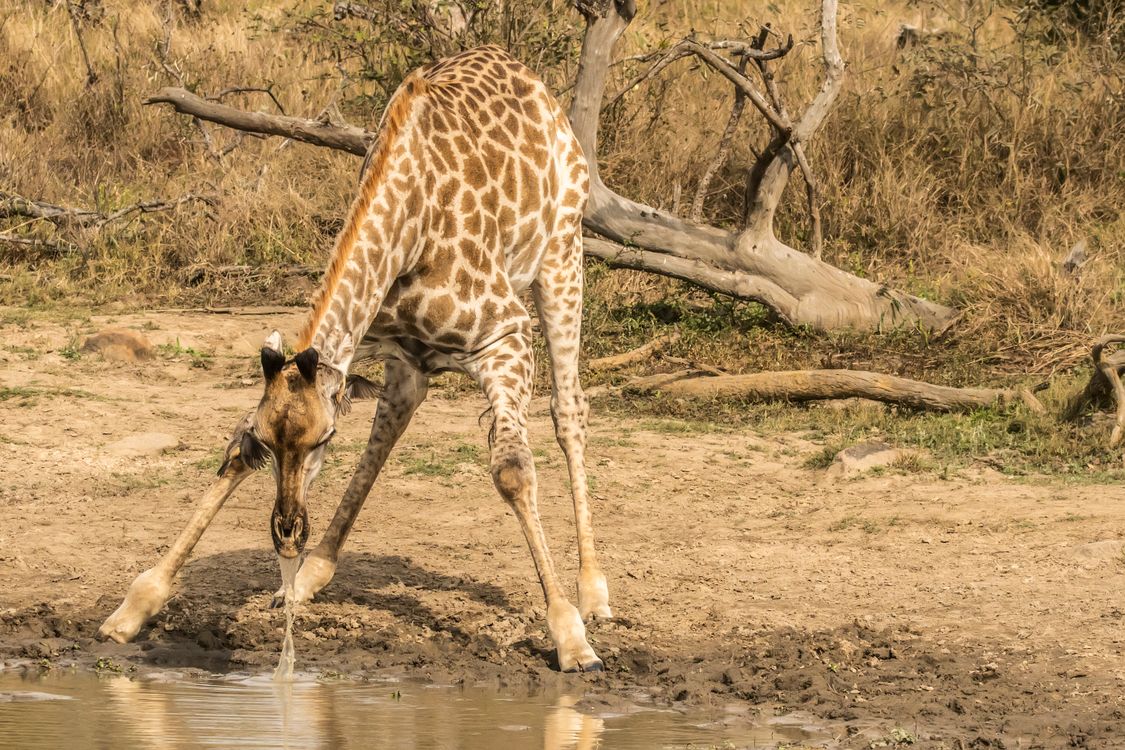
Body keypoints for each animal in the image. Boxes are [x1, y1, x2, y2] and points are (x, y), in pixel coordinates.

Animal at [98, 45, 610, 672]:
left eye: (323, 440)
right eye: (271, 442)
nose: (287, 533)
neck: (409, 226)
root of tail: (530, 79)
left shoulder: (505, 336)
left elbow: (512, 471)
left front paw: (569, 636)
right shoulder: (349, 347)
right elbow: (235, 448)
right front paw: (134, 607)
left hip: (562, 255)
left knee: (568, 410)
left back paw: (593, 591)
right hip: (412, 357)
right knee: (394, 420)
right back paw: (308, 576)